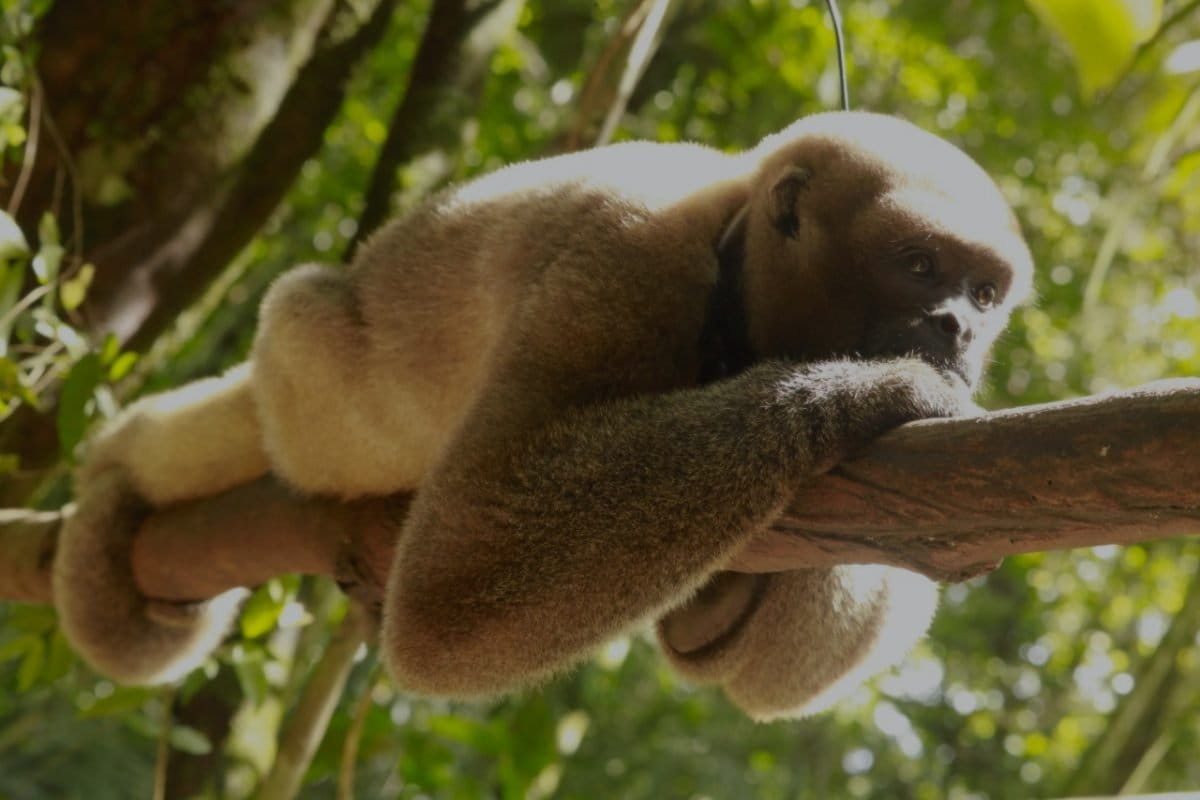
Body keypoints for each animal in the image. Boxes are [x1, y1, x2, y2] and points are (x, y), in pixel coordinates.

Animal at [53, 111, 1033, 719]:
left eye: (985, 292)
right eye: (918, 265)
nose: (958, 327)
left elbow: (750, 668)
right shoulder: (628, 254)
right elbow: (455, 582)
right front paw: (894, 385)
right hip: (322, 388)